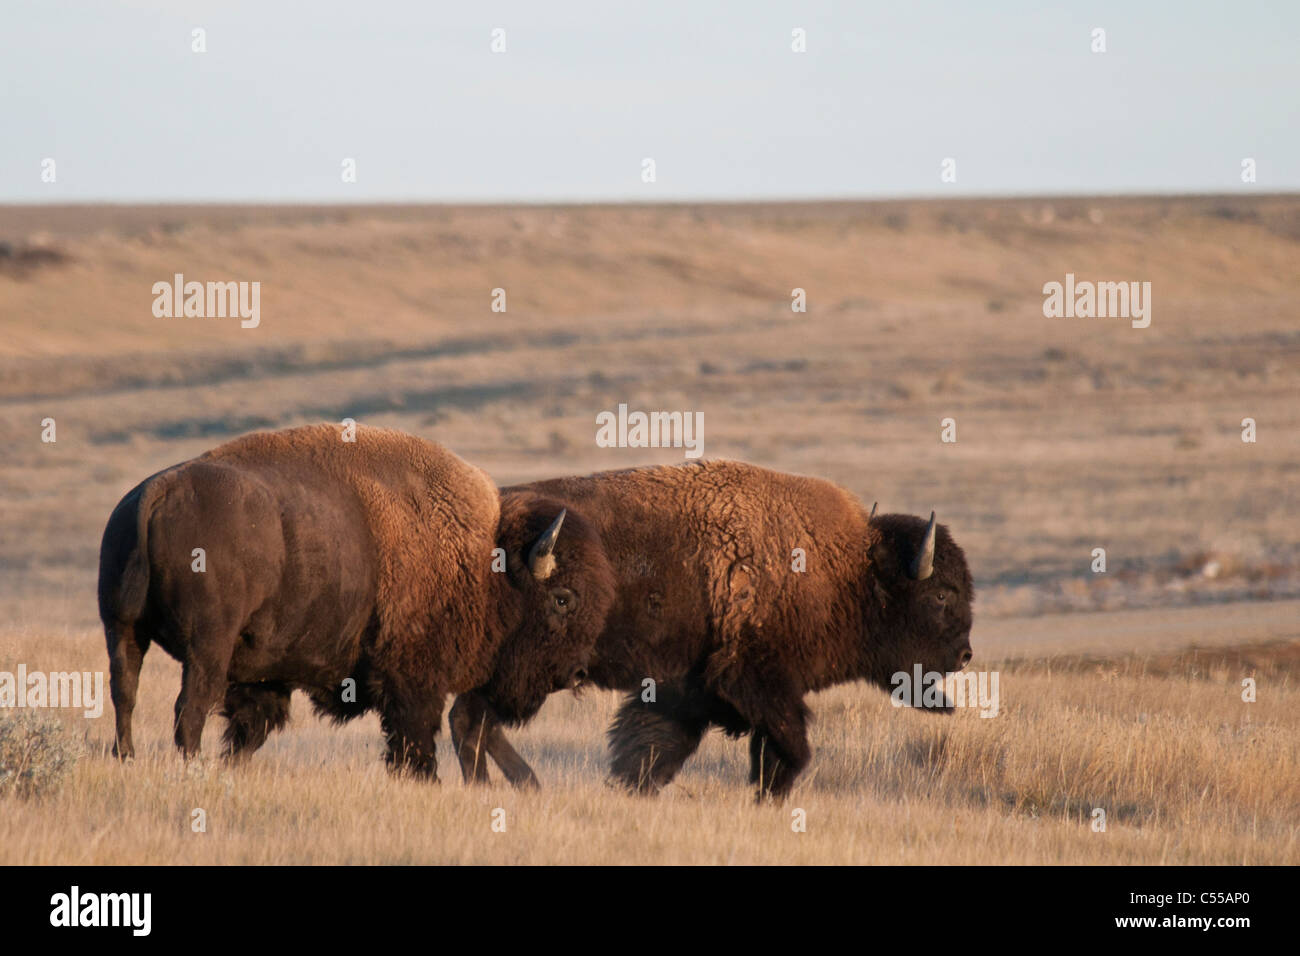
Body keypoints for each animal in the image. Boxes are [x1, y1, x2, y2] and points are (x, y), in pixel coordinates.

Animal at [97, 424, 615, 779]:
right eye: (563, 599)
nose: (578, 673)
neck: (486, 558)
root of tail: (155, 493)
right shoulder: (412, 682)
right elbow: (413, 741)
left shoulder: (266, 674)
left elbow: (250, 727)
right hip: (207, 646)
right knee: (189, 707)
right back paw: (187, 767)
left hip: (122, 628)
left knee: (125, 691)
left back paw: (126, 758)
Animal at [451, 460, 973, 798]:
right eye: (941, 595)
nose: (966, 654)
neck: (847, 568)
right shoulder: (759, 680)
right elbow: (791, 749)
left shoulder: (690, 687)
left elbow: (657, 748)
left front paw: (629, 789)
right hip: (522, 668)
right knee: (470, 720)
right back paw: (500, 787)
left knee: (475, 720)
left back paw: (525, 785)